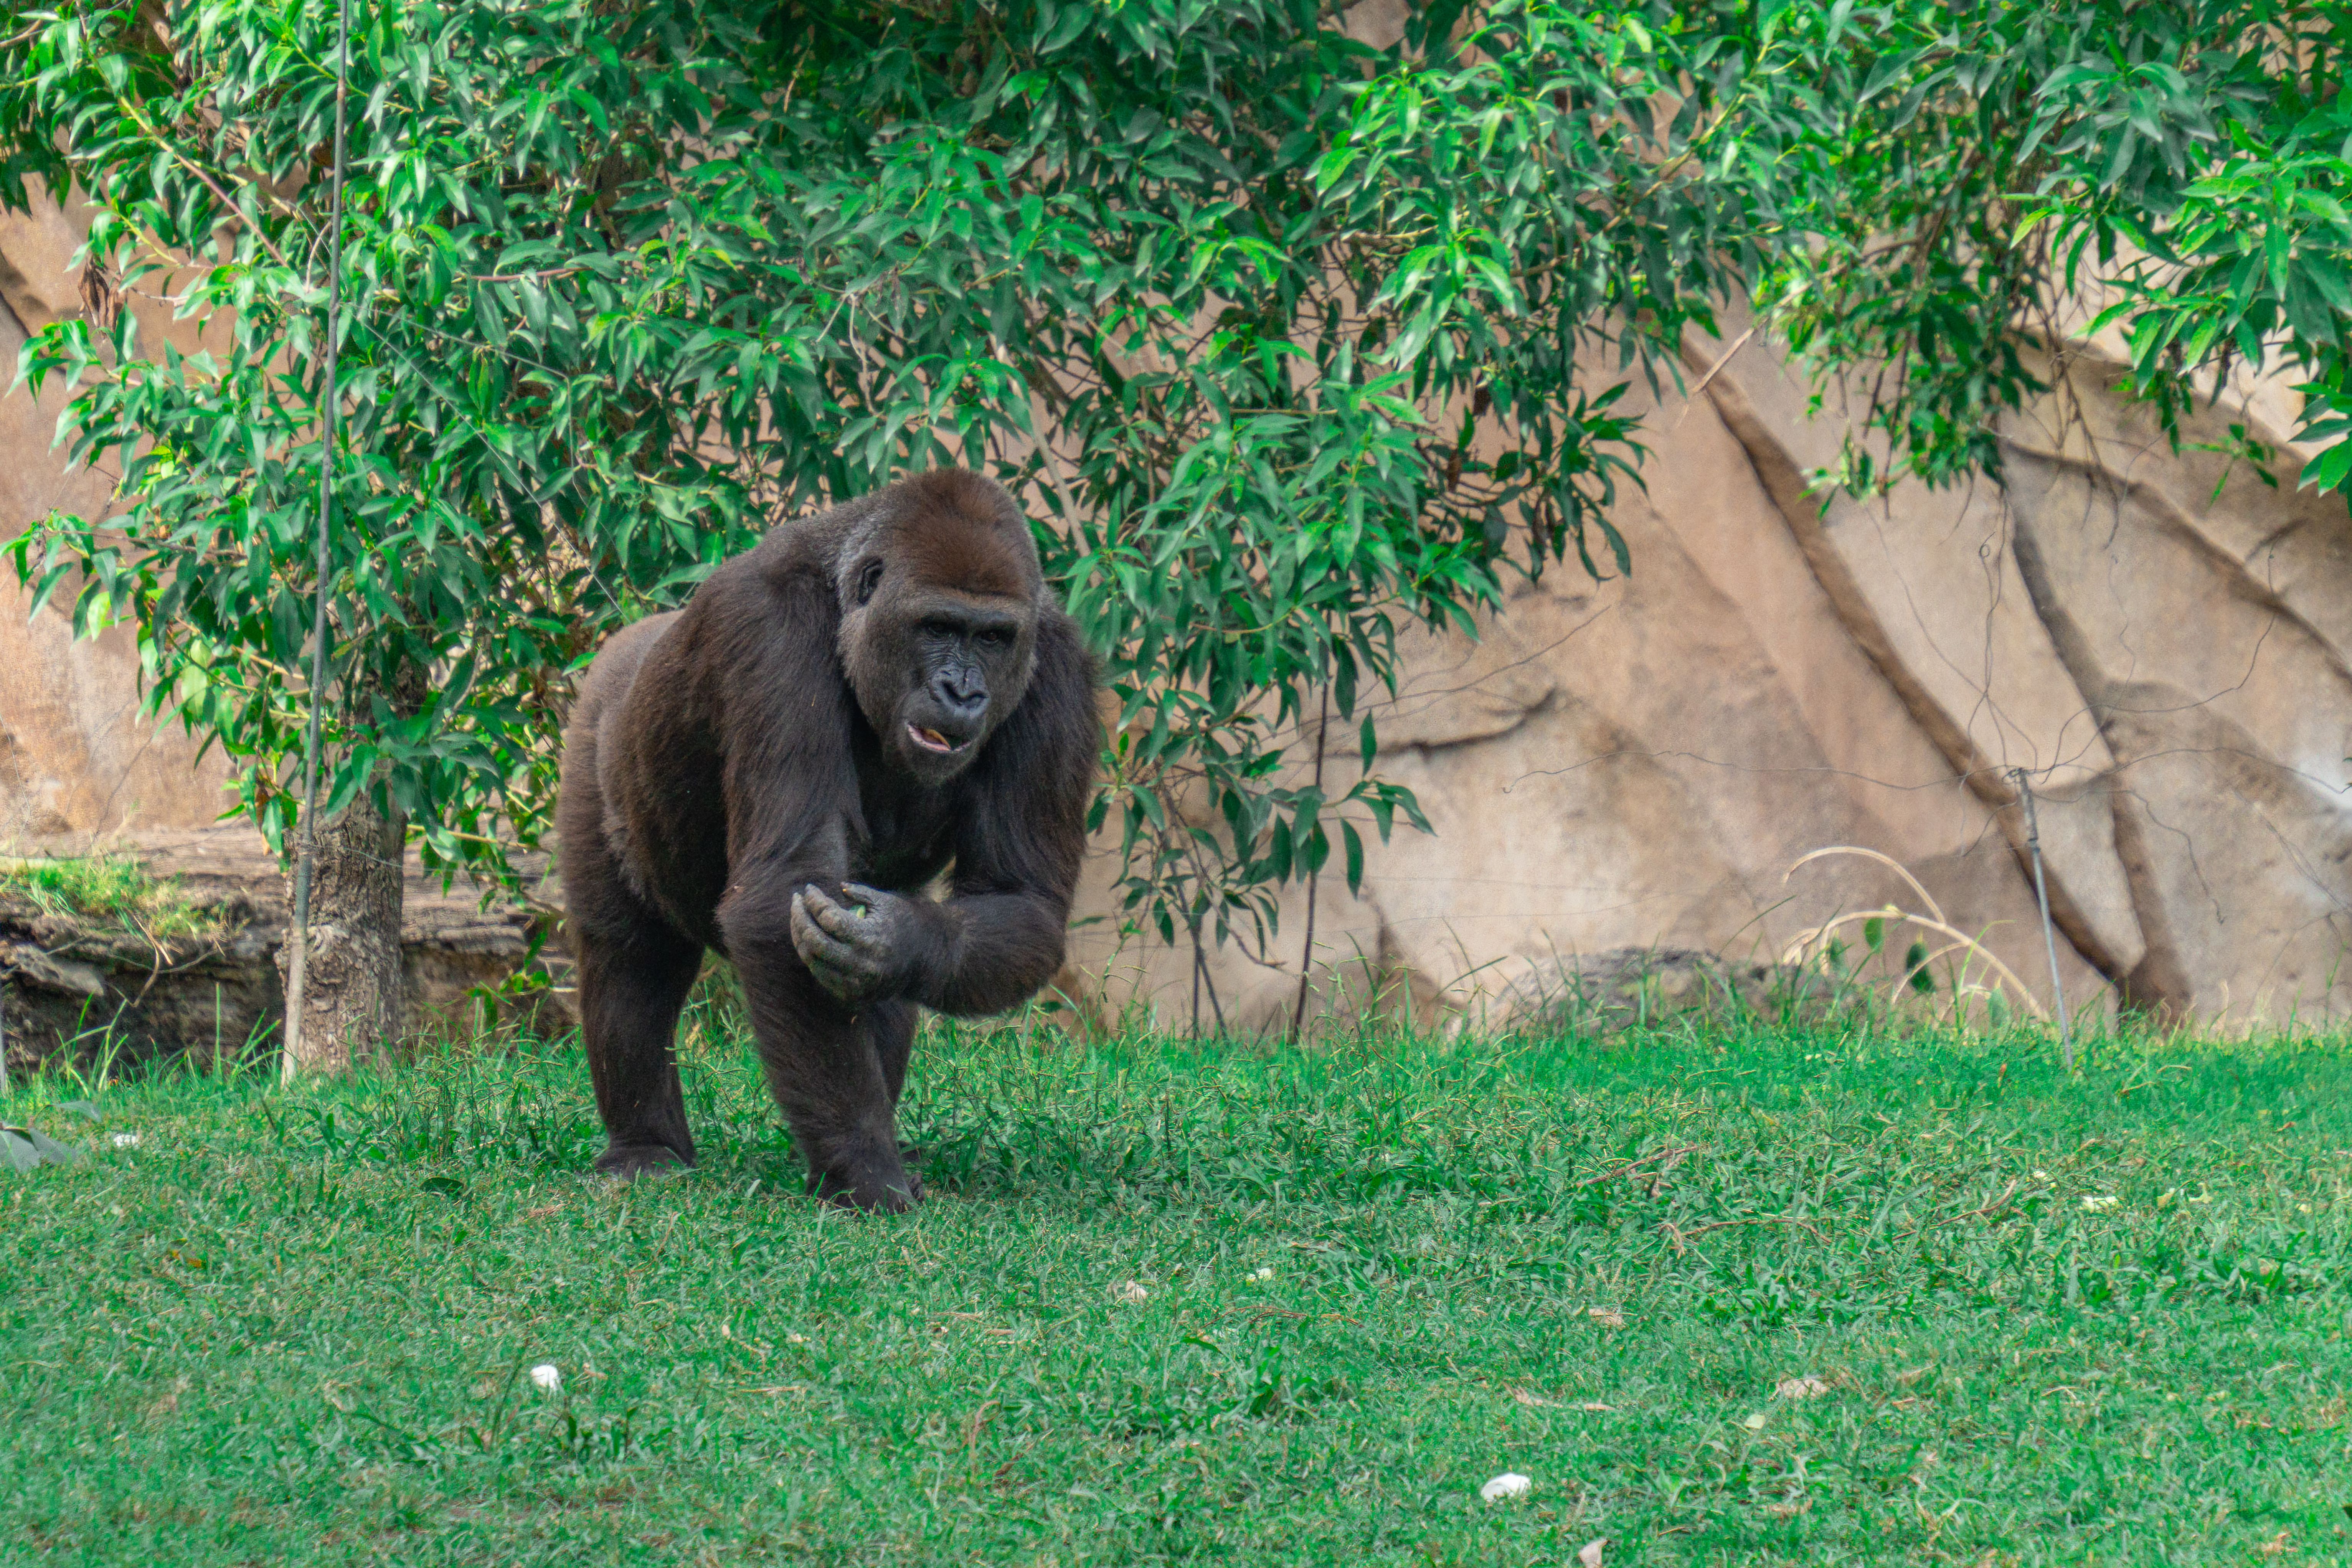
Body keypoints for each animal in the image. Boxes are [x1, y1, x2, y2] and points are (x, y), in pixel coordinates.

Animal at [555, 468, 1097, 1210]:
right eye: (937, 626)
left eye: (992, 638)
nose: (962, 693)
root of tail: (626, 639)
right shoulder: (770, 630)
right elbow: (780, 892)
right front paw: (867, 1169)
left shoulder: (1059, 671)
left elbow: (1017, 900)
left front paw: (898, 940)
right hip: (595, 738)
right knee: (631, 957)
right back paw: (646, 1147)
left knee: (884, 991)